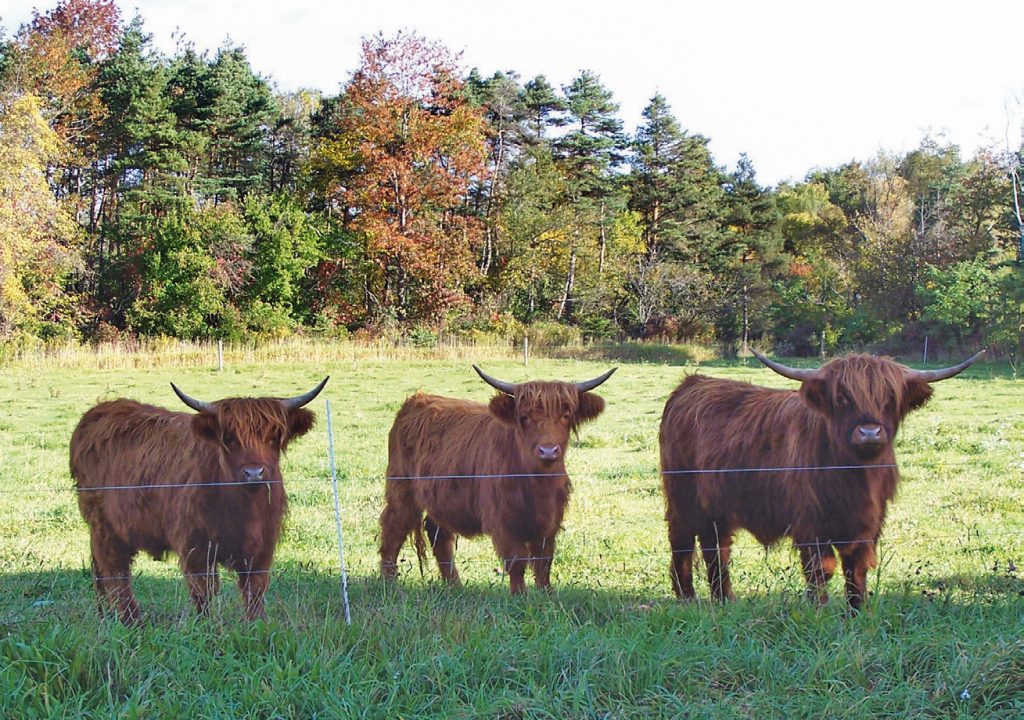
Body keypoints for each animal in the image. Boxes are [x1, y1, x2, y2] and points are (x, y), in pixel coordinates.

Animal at [70, 378, 328, 623]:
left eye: (274, 437)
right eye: (230, 439)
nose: (254, 473)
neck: (245, 509)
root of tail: (101, 410)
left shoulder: (262, 548)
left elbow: (254, 592)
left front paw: (257, 625)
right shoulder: (195, 547)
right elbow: (204, 592)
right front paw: (207, 626)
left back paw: (106, 615)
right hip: (104, 527)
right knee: (114, 571)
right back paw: (131, 619)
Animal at [379, 365, 615, 594]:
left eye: (566, 416)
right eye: (524, 417)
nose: (548, 451)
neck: (537, 484)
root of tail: (416, 400)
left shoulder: (551, 520)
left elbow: (544, 560)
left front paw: (547, 594)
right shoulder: (503, 519)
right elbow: (517, 561)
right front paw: (520, 596)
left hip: (440, 498)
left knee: (439, 535)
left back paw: (454, 586)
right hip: (402, 489)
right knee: (393, 527)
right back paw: (389, 582)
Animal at [660, 350, 983, 609]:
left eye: (890, 399)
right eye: (842, 398)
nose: (869, 433)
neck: (854, 478)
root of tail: (693, 383)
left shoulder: (869, 524)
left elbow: (857, 568)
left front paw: (856, 610)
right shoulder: (810, 523)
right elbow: (822, 569)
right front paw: (820, 609)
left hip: (718, 508)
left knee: (717, 548)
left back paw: (725, 600)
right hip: (681, 498)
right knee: (683, 543)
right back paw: (687, 598)